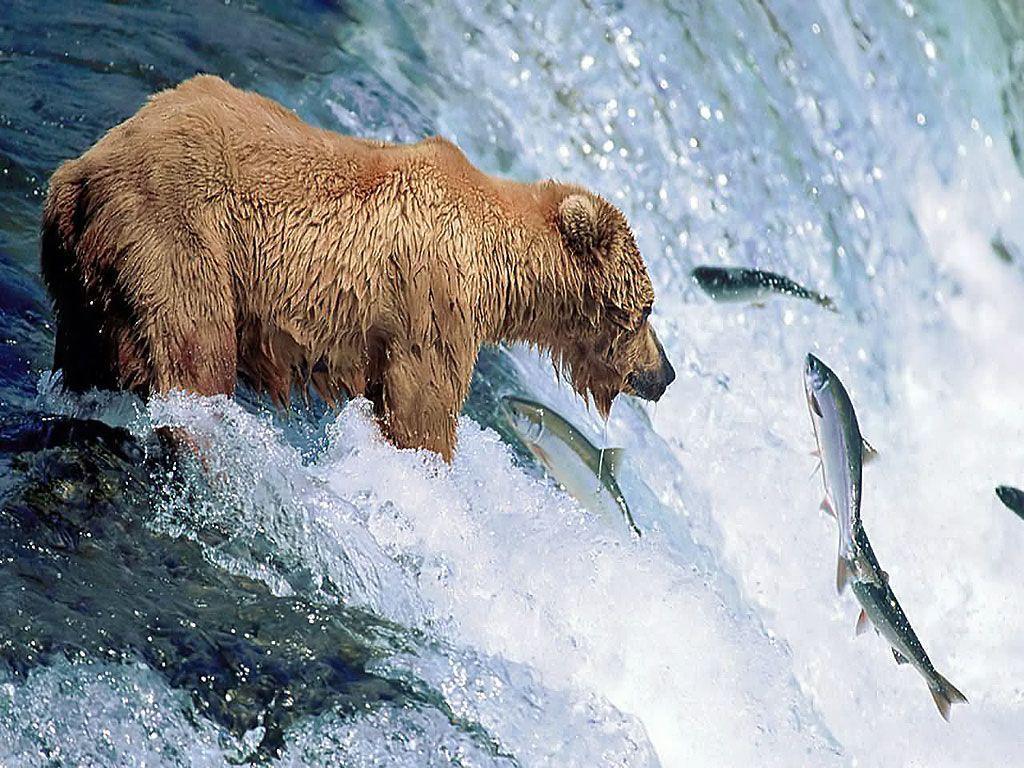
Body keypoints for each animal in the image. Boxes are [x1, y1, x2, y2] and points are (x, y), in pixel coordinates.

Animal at [40, 74, 675, 461]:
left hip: (86, 276)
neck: (500, 272)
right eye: (645, 309)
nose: (664, 373)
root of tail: (80, 170)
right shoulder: (432, 303)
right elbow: (422, 413)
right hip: (179, 233)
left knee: (89, 353)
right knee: (196, 354)